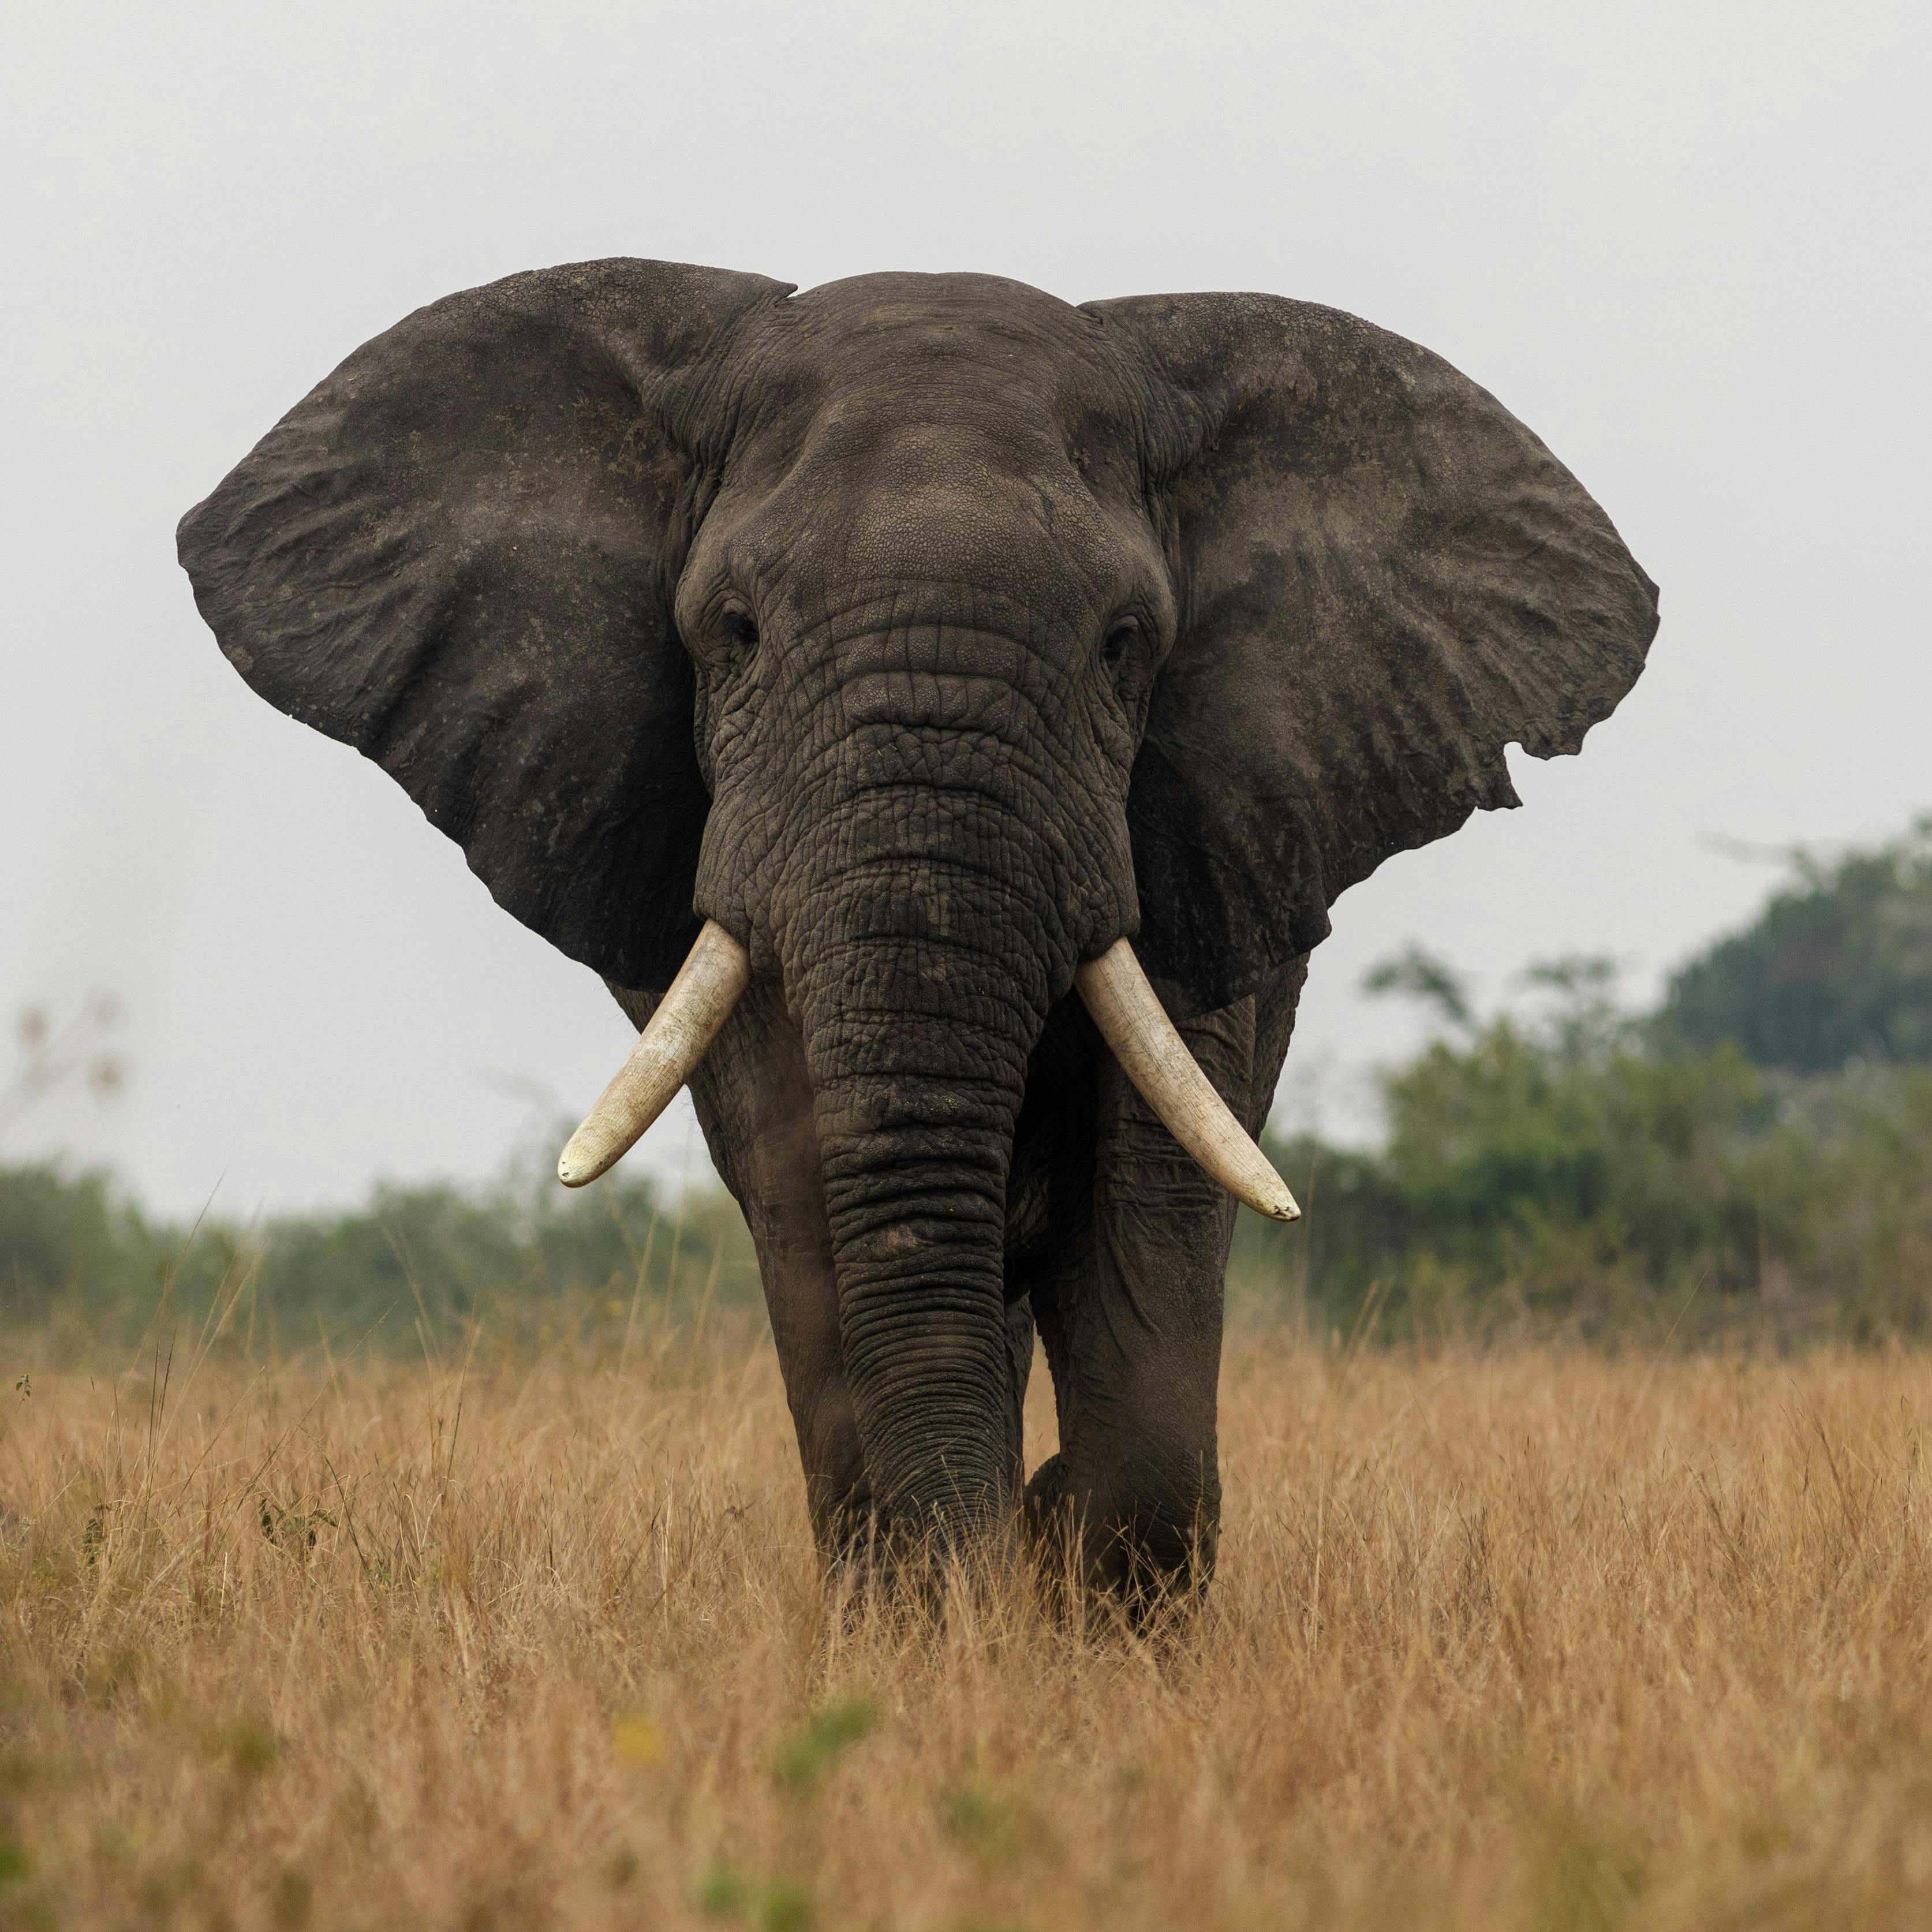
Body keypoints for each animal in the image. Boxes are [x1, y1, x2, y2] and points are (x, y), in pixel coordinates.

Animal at [178, 259, 1657, 1601]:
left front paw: (1063, 1557)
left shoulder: (1202, 823)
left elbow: (1146, 1193)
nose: (1004, 1543)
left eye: (1125, 644)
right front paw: (940, 1610)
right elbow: (811, 1191)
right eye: (733, 631)